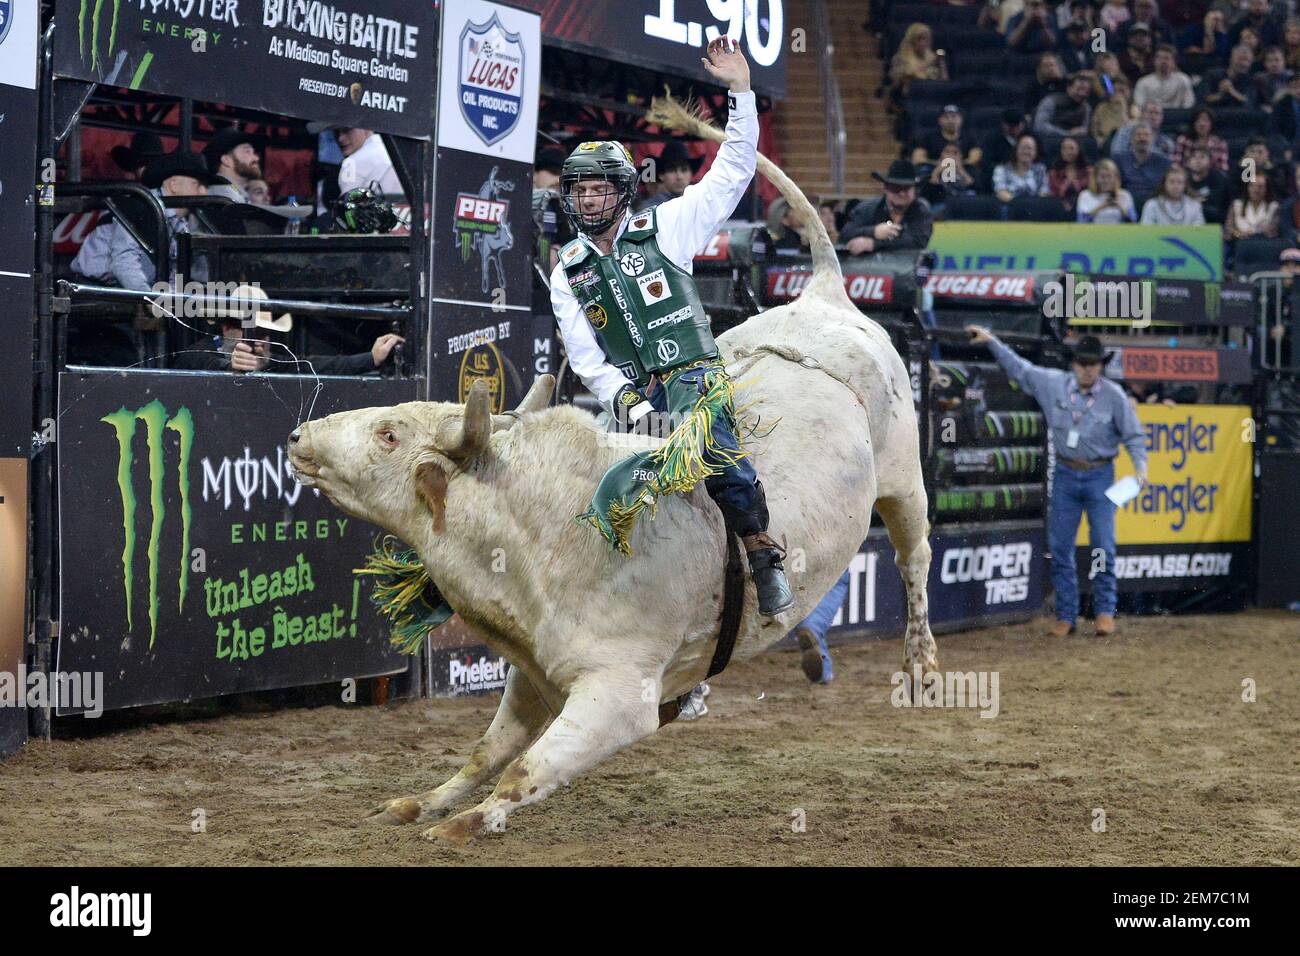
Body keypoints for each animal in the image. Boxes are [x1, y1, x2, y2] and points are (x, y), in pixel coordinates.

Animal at [286, 99, 937, 844]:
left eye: (389, 434)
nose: (300, 435)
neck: (543, 535)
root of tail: (826, 296)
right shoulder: (535, 673)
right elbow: (488, 752)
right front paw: (416, 804)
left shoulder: (617, 694)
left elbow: (525, 770)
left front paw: (465, 824)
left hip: (903, 478)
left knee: (914, 556)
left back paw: (919, 663)